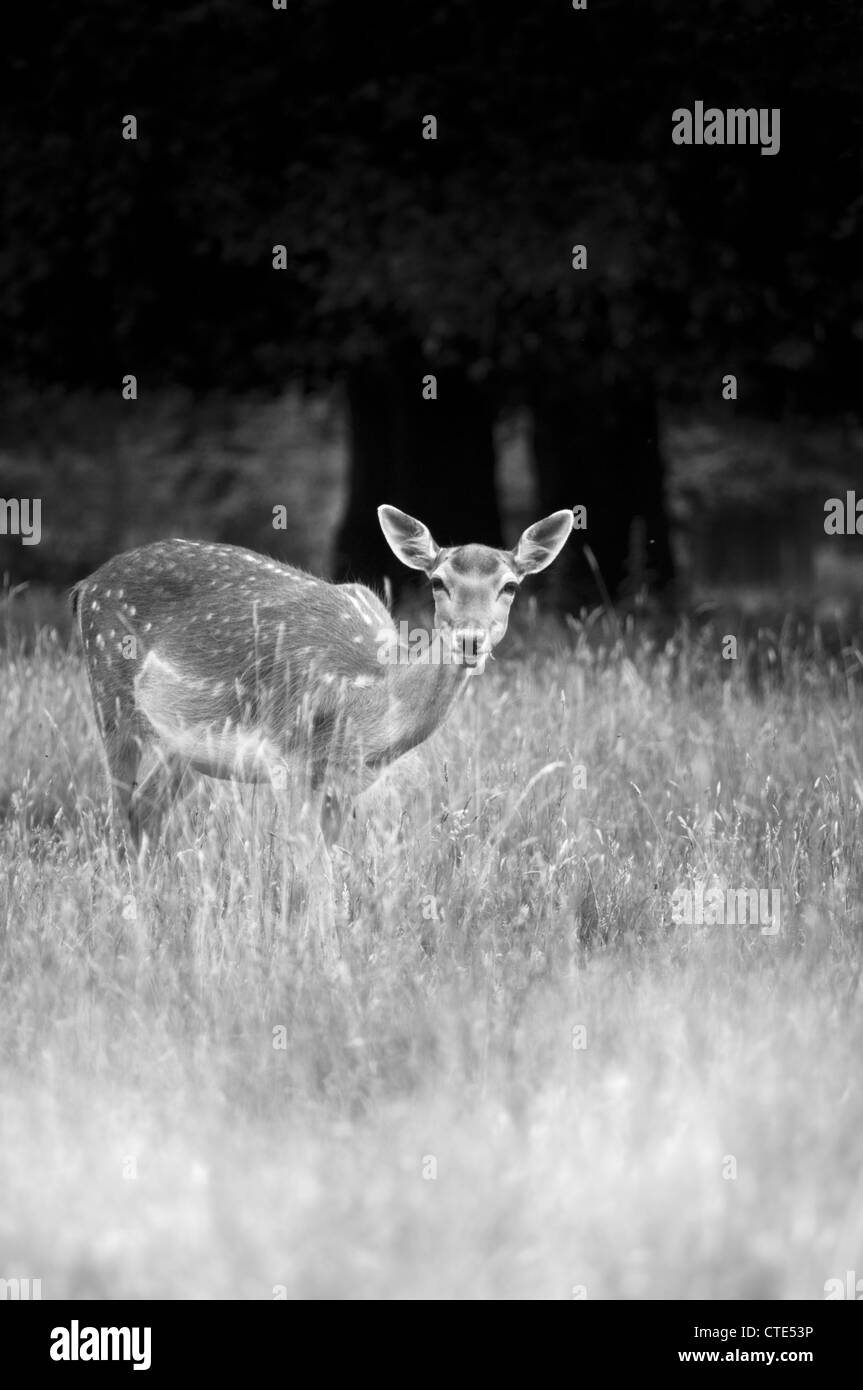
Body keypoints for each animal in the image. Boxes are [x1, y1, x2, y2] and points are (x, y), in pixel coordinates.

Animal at [72, 505, 574, 963]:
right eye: (438, 582)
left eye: (510, 586)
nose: (470, 640)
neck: (362, 708)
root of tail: (85, 586)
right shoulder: (287, 758)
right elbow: (318, 871)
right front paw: (329, 966)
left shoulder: (340, 785)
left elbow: (322, 867)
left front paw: (307, 949)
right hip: (108, 691)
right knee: (116, 815)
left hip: (183, 745)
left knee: (144, 812)